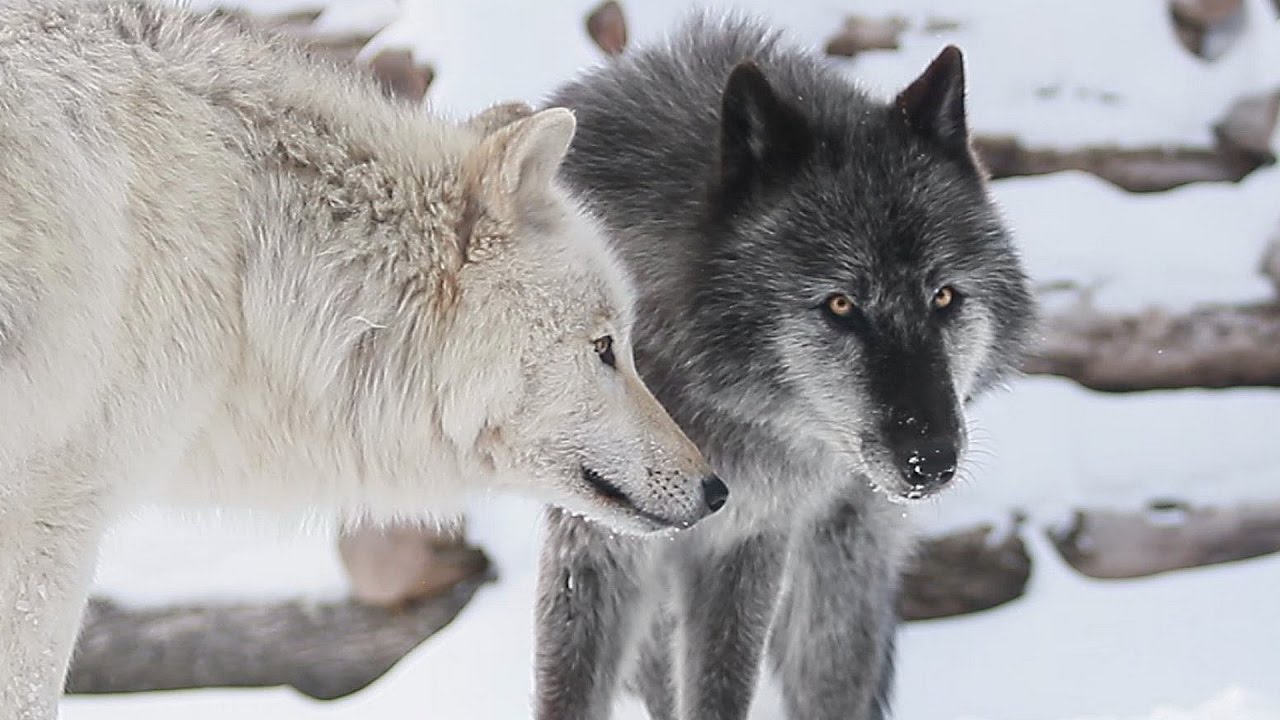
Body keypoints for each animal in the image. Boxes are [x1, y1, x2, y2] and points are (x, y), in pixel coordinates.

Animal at [532, 16, 1036, 720]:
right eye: (841, 303)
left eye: (943, 297)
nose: (932, 460)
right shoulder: (595, 546)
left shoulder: (750, 540)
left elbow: (721, 691)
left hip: (835, 598)